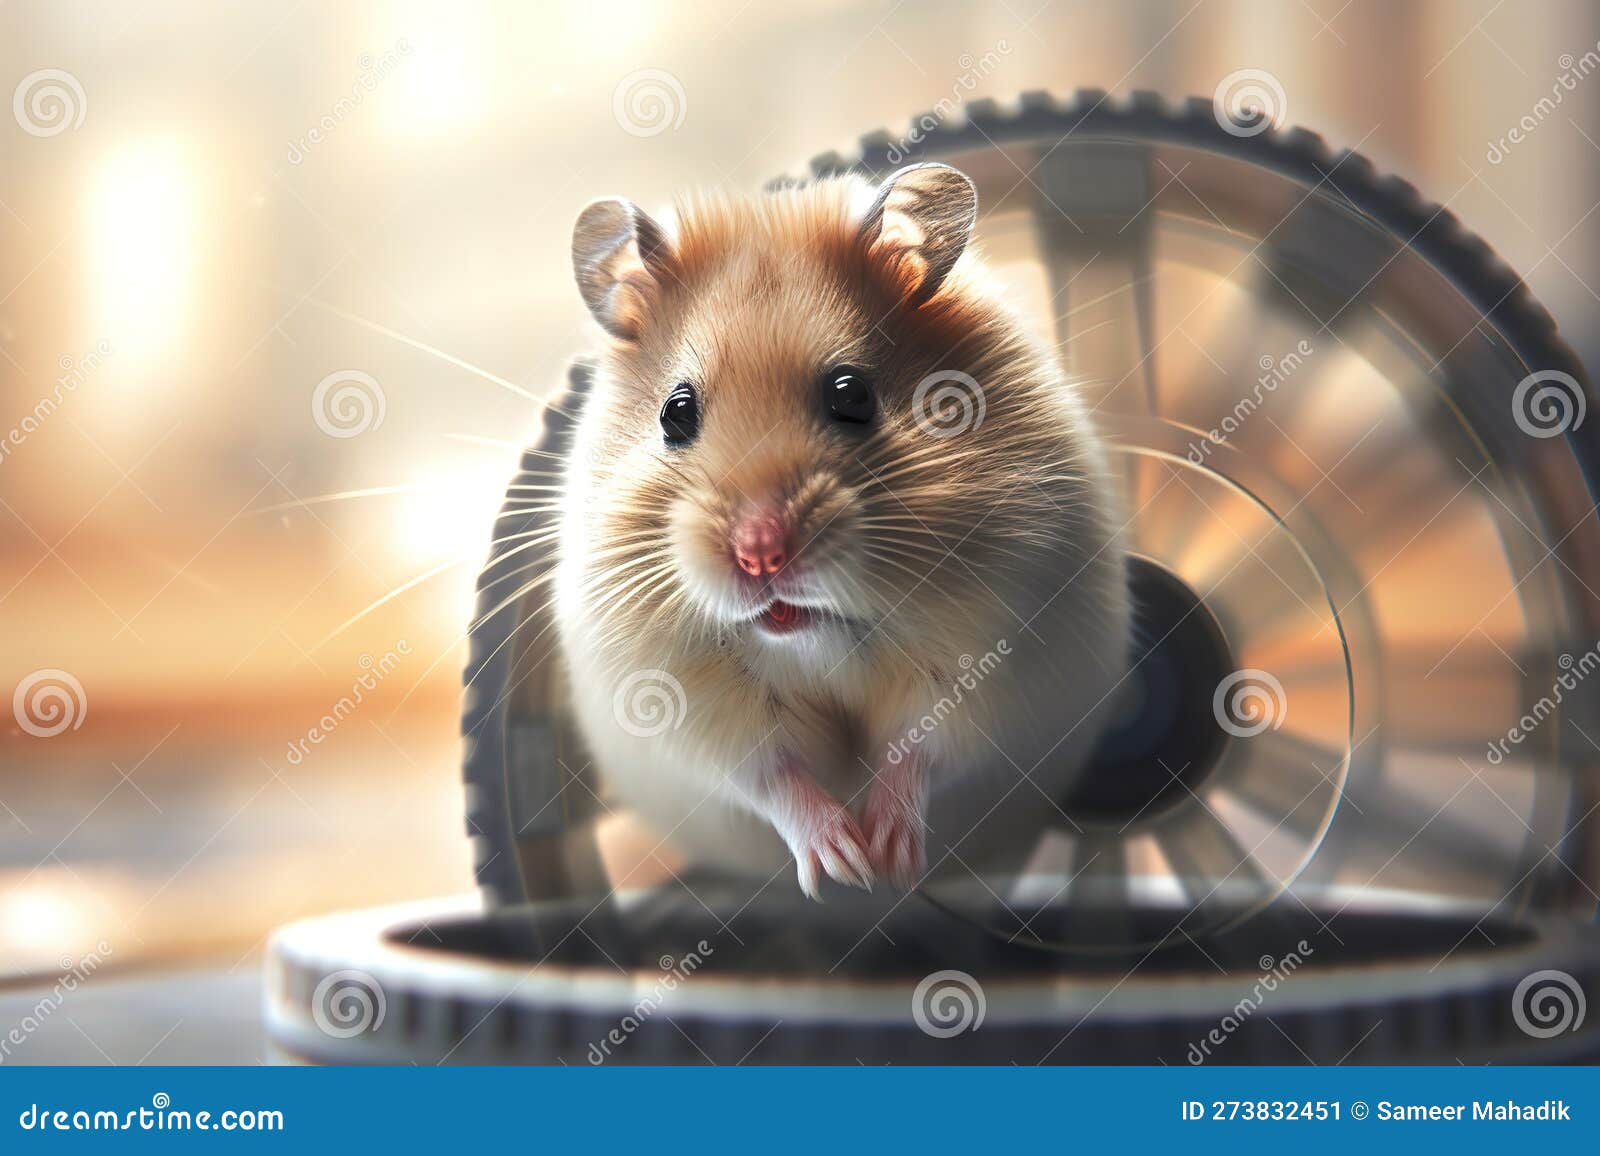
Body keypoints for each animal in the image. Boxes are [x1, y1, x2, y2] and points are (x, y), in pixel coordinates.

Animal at [557, 163, 1130, 899]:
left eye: (852, 394)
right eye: (674, 412)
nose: (760, 556)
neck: (818, 635)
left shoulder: (994, 656)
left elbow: (921, 750)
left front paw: (887, 857)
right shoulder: (686, 708)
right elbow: (774, 779)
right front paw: (842, 864)